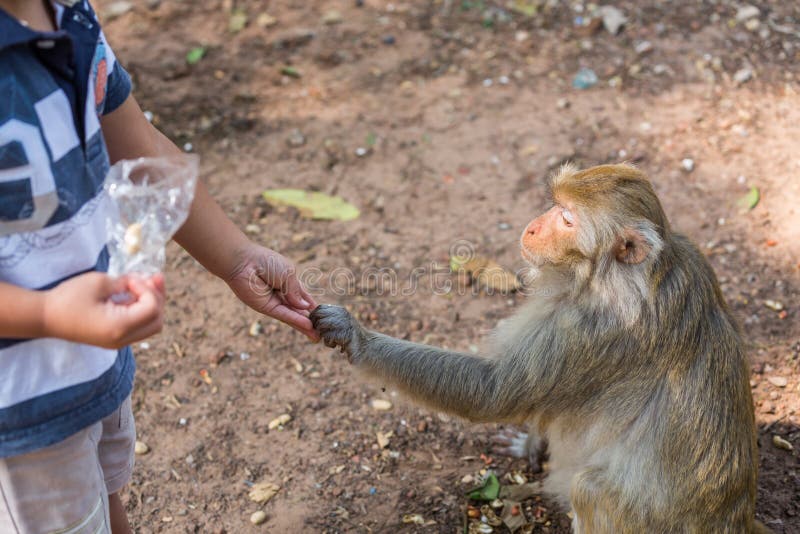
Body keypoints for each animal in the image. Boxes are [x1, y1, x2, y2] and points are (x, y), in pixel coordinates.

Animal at [311, 163, 770, 533]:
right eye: (555, 205)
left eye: (566, 219)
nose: (533, 226)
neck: (615, 275)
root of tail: (733, 522)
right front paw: (530, 444)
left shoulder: (591, 325)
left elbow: (494, 391)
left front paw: (357, 337)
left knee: (589, 489)